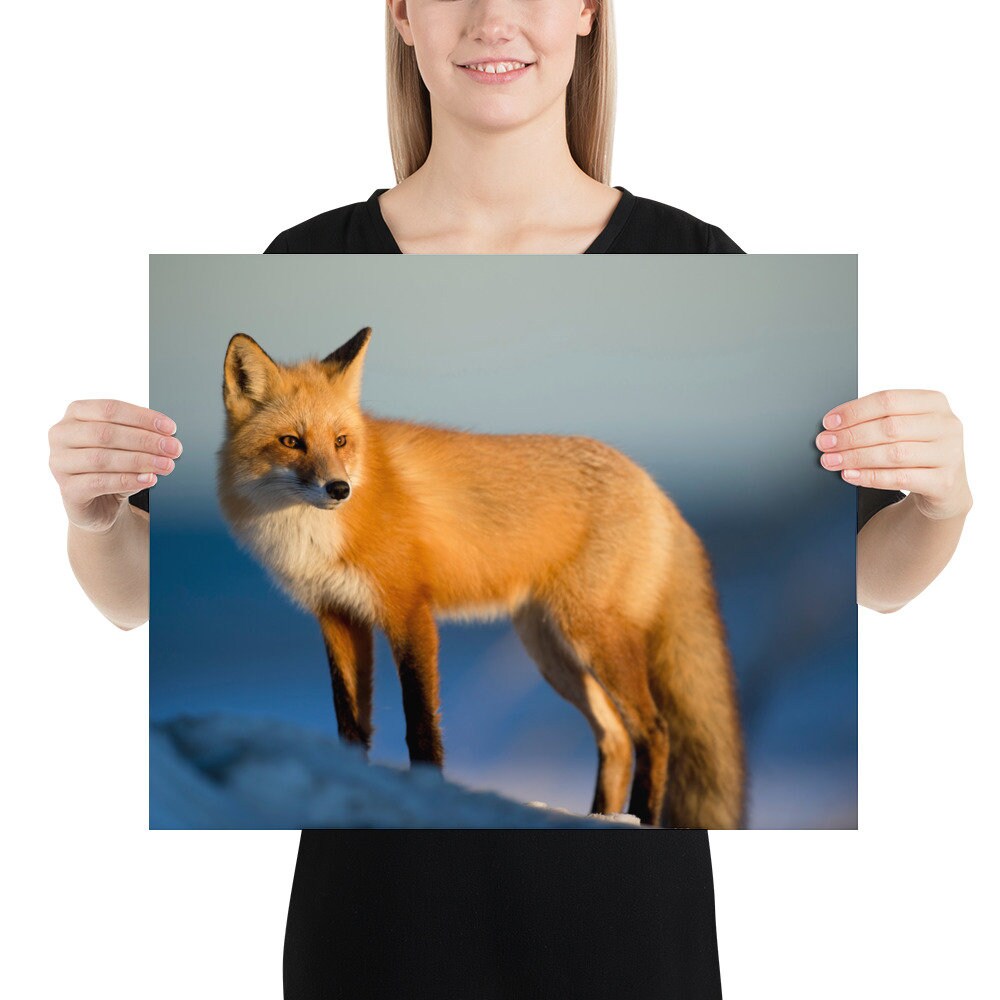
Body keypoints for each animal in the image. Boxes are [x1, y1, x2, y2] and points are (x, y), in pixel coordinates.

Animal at [216, 327, 746, 829]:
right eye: (291, 441)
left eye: (341, 441)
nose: (339, 488)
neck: (314, 535)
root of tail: (654, 487)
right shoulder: (337, 616)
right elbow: (350, 724)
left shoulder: (409, 611)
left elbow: (421, 724)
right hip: (551, 651)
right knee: (615, 737)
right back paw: (601, 817)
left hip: (593, 637)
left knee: (654, 731)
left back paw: (641, 818)